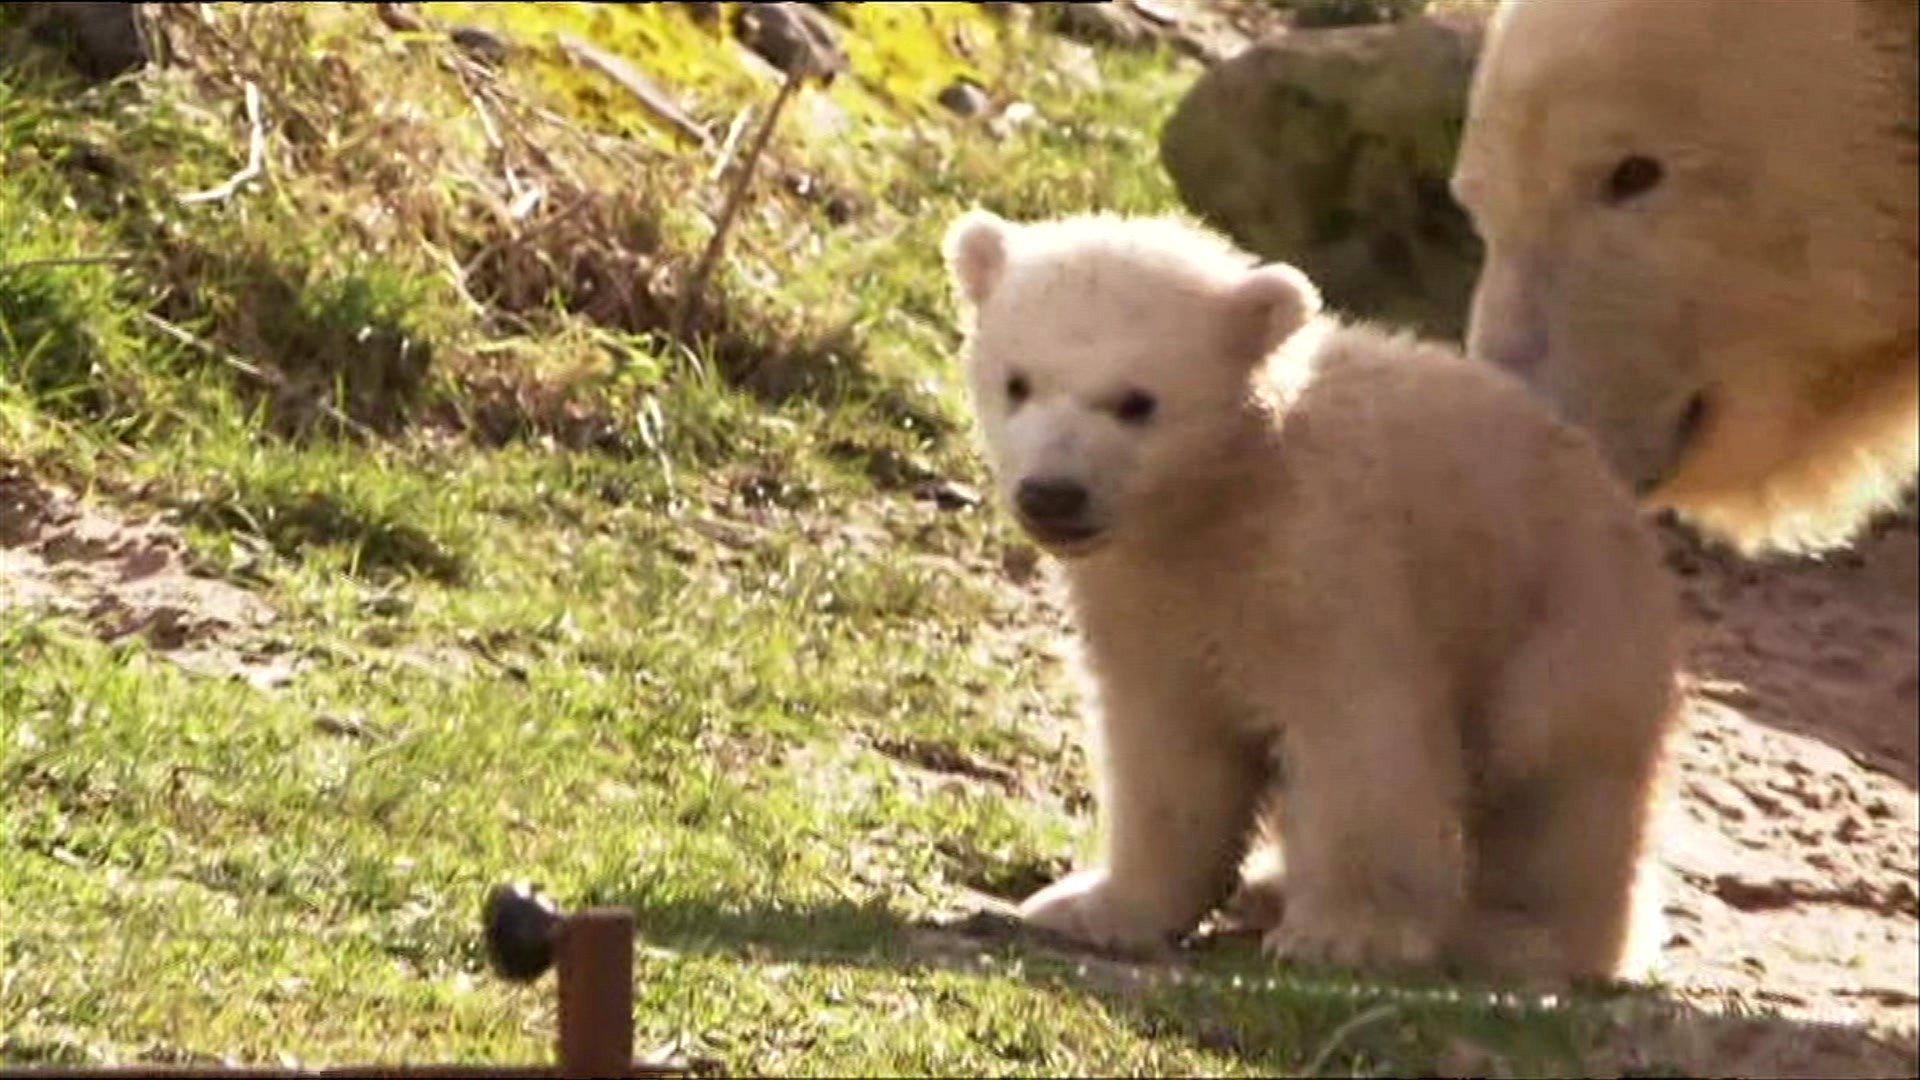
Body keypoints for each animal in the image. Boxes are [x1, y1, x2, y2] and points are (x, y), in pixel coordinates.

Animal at [943, 210, 1679, 981]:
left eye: (1137, 402)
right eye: (1017, 382)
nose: (1052, 494)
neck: (1234, 492)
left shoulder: (1336, 570)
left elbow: (1360, 741)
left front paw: (1344, 934)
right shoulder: (1151, 600)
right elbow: (1172, 752)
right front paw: (1095, 907)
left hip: (1562, 628)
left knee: (1555, 791)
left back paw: (1522, 936)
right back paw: (1270, 888)